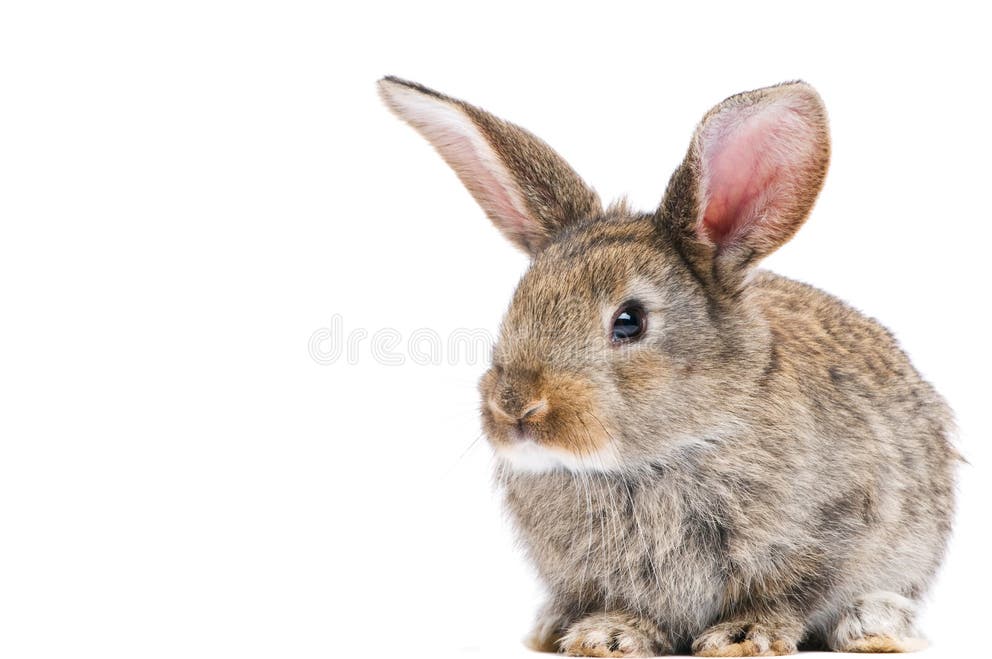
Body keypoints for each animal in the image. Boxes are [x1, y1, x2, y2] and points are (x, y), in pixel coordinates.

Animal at [378, 76, 958, 657]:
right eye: (516, 303)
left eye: (629, 321)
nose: (515, 407)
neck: (663, 454)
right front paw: (608, 634)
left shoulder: (833, 530)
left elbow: (787, 595)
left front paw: (740, 636)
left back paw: (874, 625)